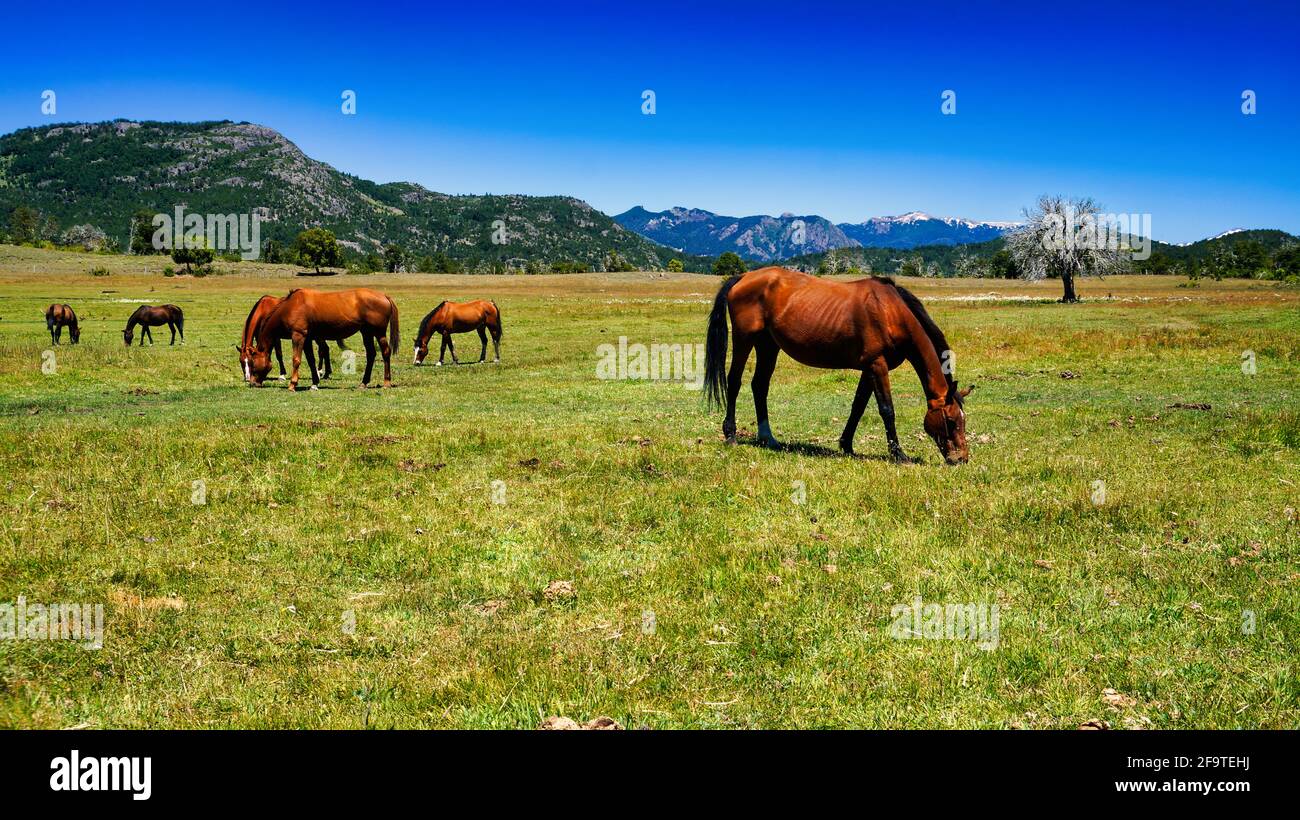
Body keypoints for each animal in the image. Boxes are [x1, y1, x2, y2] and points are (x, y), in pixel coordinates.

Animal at [247, 288, 398, 390]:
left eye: (252, 364)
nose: (252, 383)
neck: (290, 307)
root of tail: (384, 296)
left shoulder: (298, 336)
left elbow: (296, 360)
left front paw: (292, 384)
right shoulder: (307, 338)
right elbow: (311, 360)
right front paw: (314, 383)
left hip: (379, 332)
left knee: (385, 352)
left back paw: (386, 382)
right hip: (366, 332)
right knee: (371, 354)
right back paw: (364, 382)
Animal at [704, 266, 973, 465]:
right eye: (951, 421)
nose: (960, 458)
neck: (890, 311)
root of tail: (743, 277)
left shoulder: (870, 368)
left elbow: (858, 407)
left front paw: (847, 445)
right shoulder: (877, 365)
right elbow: (887, 410)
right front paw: (898, 454)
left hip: (768, 346)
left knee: (759, 386)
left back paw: (768, 438)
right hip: (744, 339)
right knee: (734, 382)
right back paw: (731, 434)